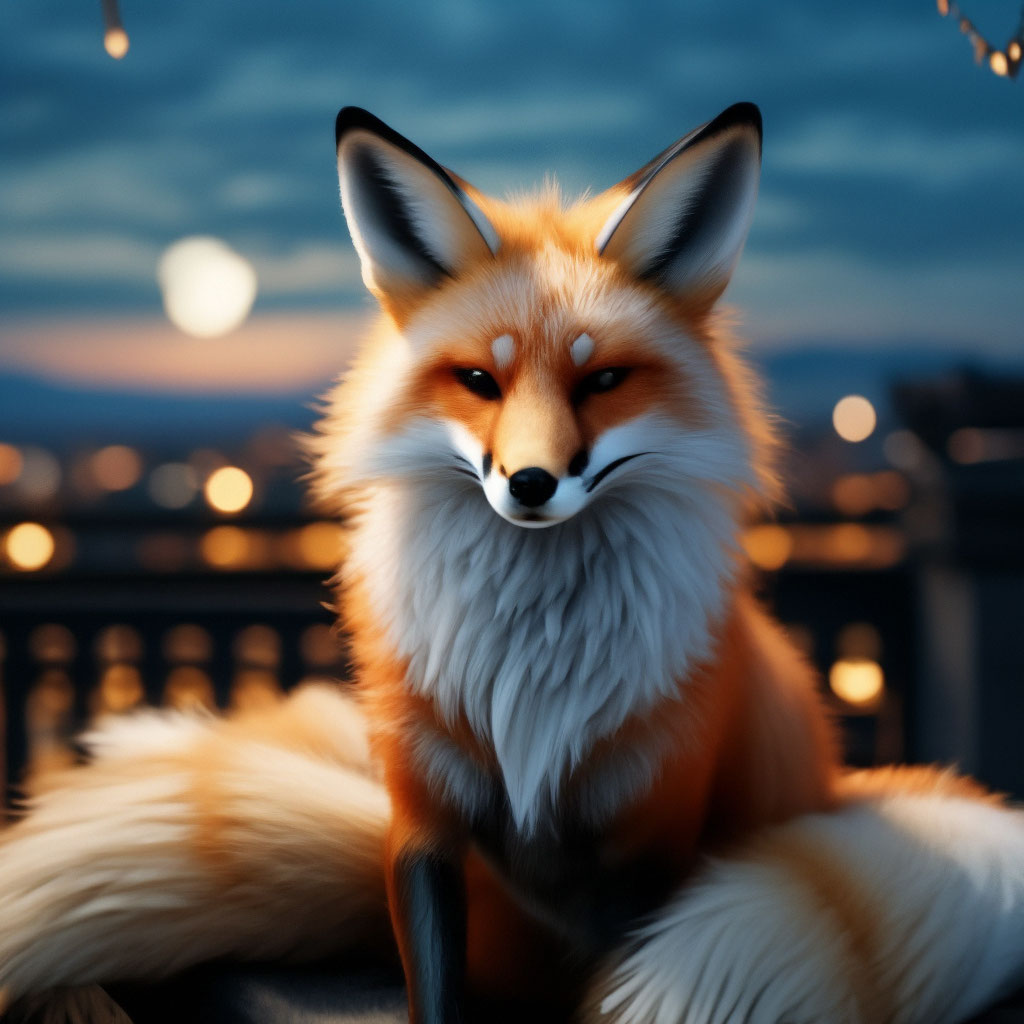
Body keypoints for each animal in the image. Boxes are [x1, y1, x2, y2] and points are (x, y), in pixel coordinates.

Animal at [1, 103, 1024, 1024]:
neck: (530, 666)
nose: (530, 482)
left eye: (601, 380)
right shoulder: (423, 823)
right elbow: (435, 991)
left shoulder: (647, 845)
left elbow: (610, 991)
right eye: (479, 380)